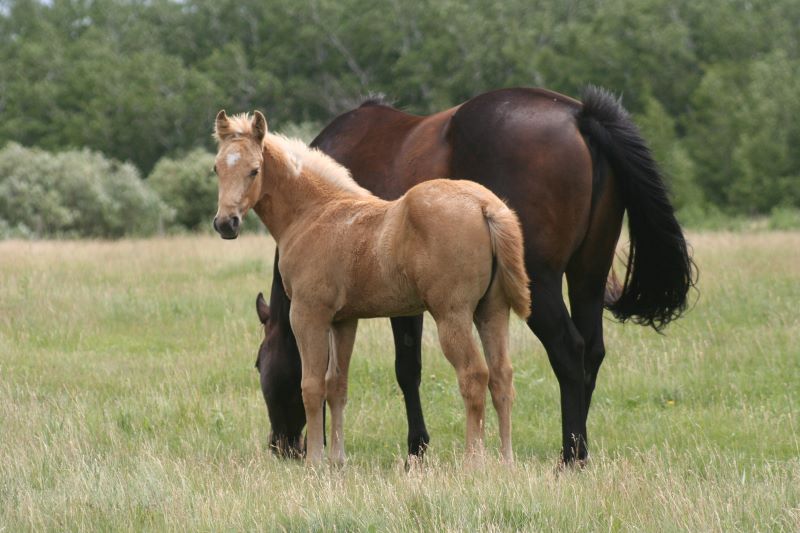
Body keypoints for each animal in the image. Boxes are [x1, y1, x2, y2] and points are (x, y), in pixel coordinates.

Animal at [212, 110, 530, 464]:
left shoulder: (308, 314)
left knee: (474, 375)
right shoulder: (343, 321)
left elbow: (312, 386)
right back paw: (506, 462)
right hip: (492, 310)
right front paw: (337, 460)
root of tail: (484, 205)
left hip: (453, 315)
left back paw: (473, 463)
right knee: (502, 376)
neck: (314, 213)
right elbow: (336, 385)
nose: (226, 224)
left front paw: (315, 462)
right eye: (217, 168)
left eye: (254, 170)